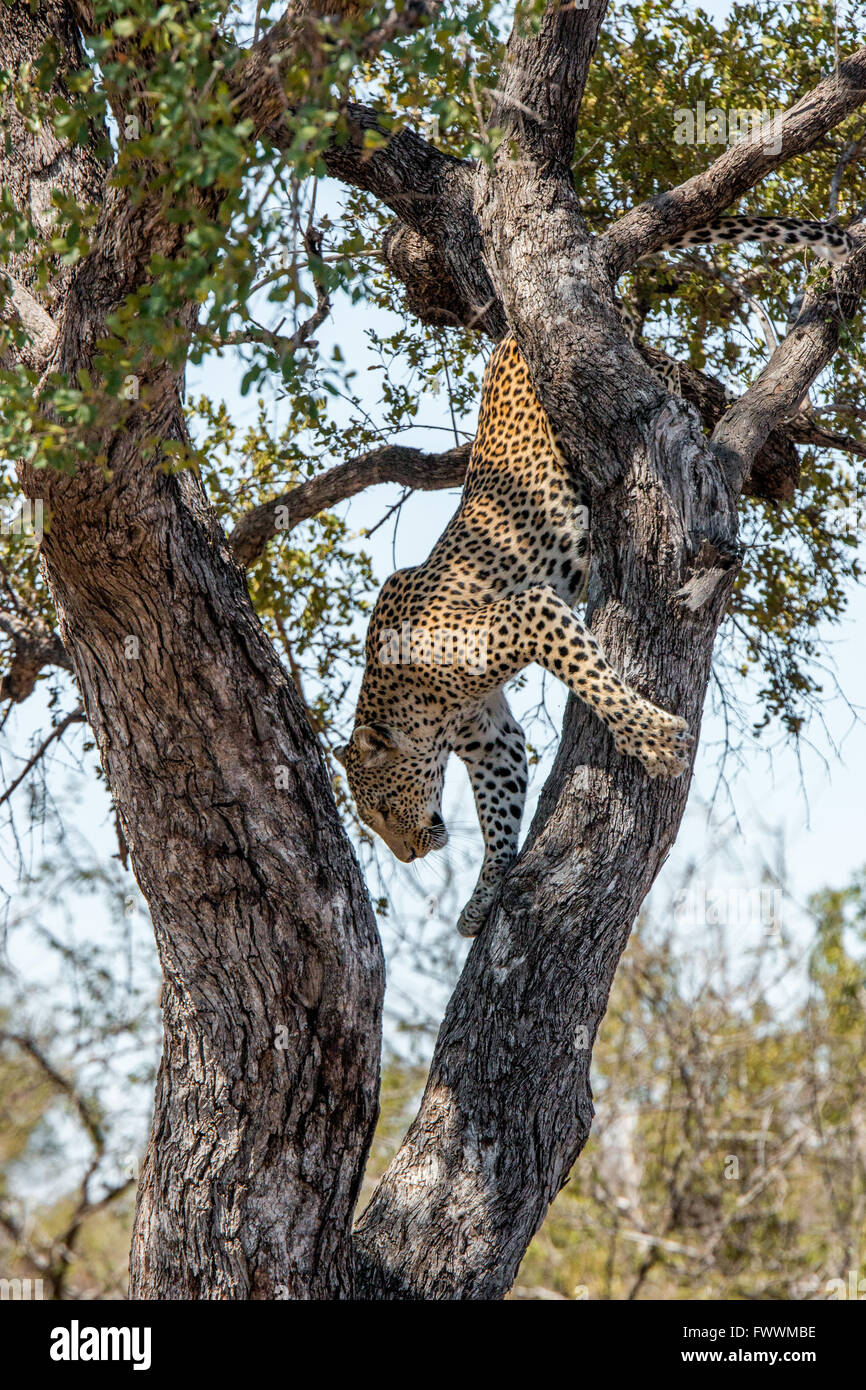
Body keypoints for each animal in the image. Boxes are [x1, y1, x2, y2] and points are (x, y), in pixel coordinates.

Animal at [335, 214, 854, 937]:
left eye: (381, 808)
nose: (408, 854)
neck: (418, 704)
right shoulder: (491, 733)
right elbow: (499, 808)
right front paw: (483, 896)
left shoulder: (529, 610)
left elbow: (592, 678)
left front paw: (653, 739)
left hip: (620, 371)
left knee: (671, 383)